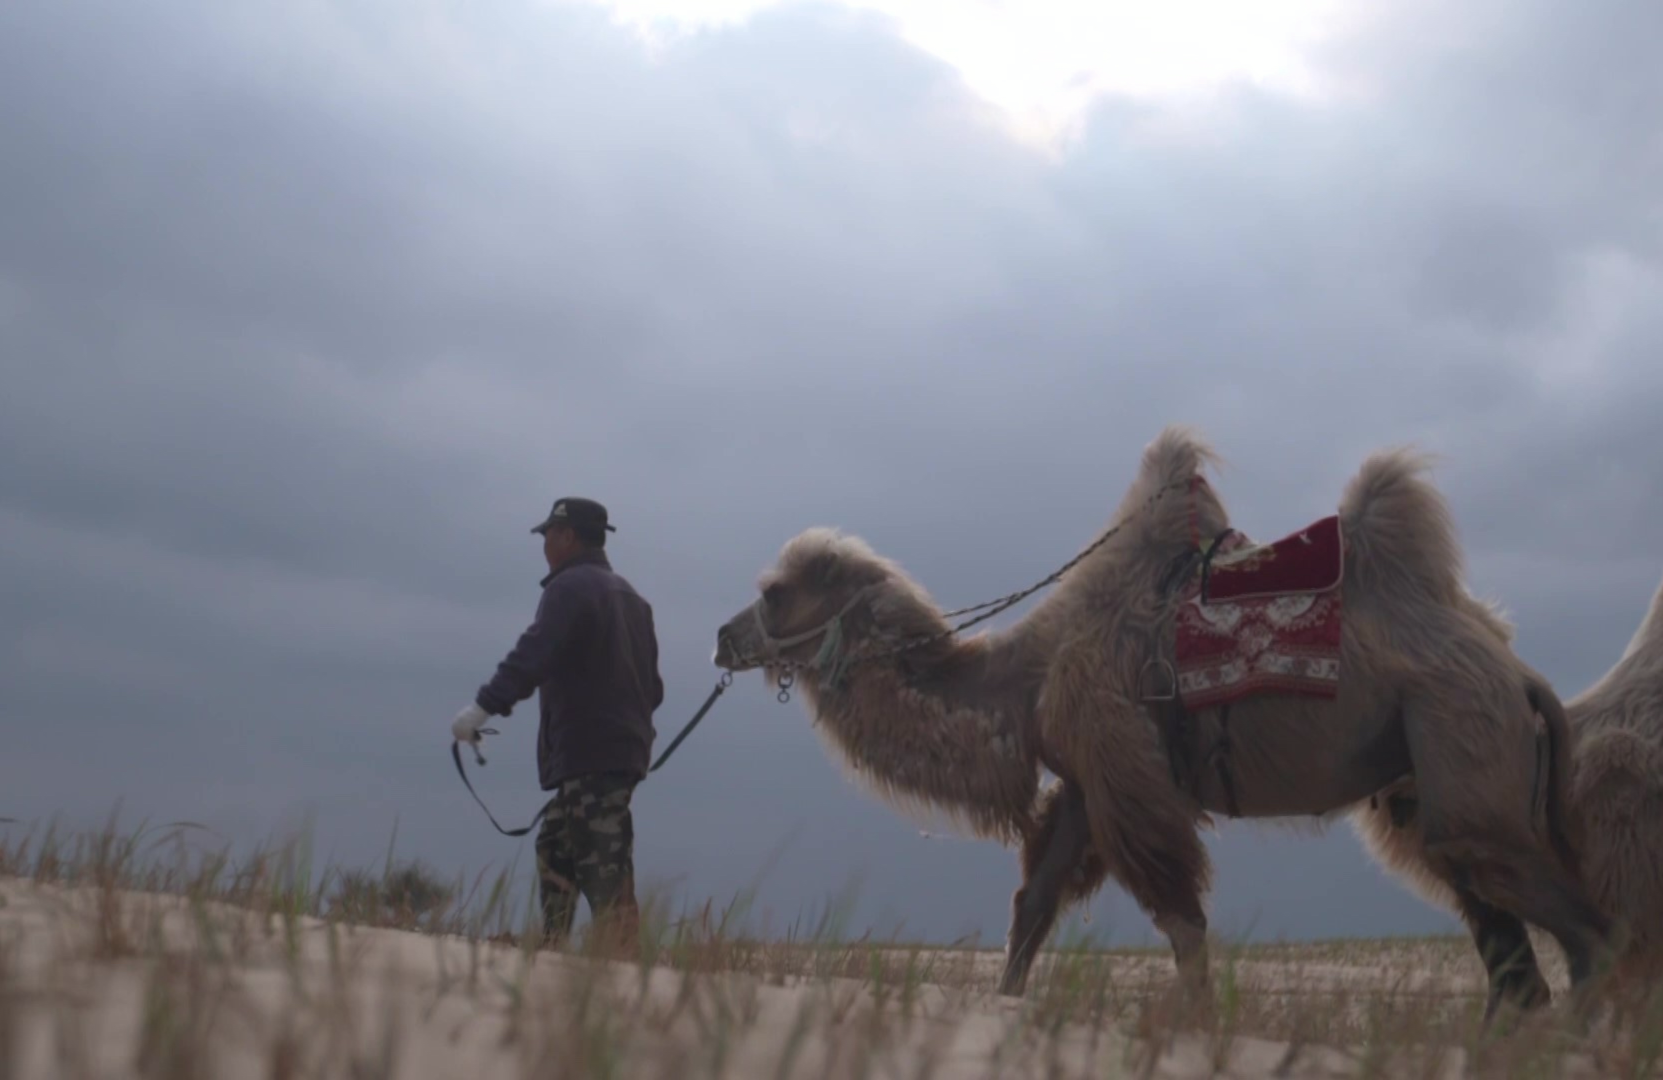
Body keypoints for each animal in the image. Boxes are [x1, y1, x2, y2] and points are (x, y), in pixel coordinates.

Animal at [710, 424, 1612, 1021]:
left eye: (774, 593)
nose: (721, 638)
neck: (1026, 678)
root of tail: (1523, 678)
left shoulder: (1123, 764)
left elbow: (1178, 915)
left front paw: (1200, 1024)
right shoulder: (1082, 781)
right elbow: (1032, 905)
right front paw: (1007, 1009)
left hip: (1462, 736)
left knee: (1569, 918)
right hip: (1426, 770)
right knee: (1499, 932)